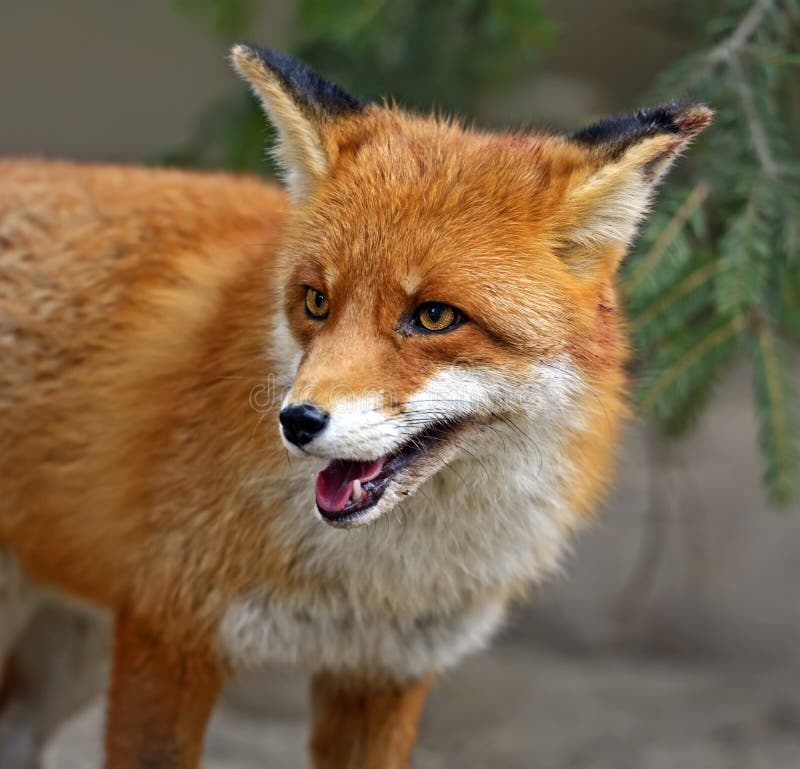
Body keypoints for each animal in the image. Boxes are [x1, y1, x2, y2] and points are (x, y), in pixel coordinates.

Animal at [0, 45, 711, 769]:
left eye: (434, 316)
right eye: (317, 301)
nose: (296, 421)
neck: (374, 580)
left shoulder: (382, 669)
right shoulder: (169, 634)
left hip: (69, 659)